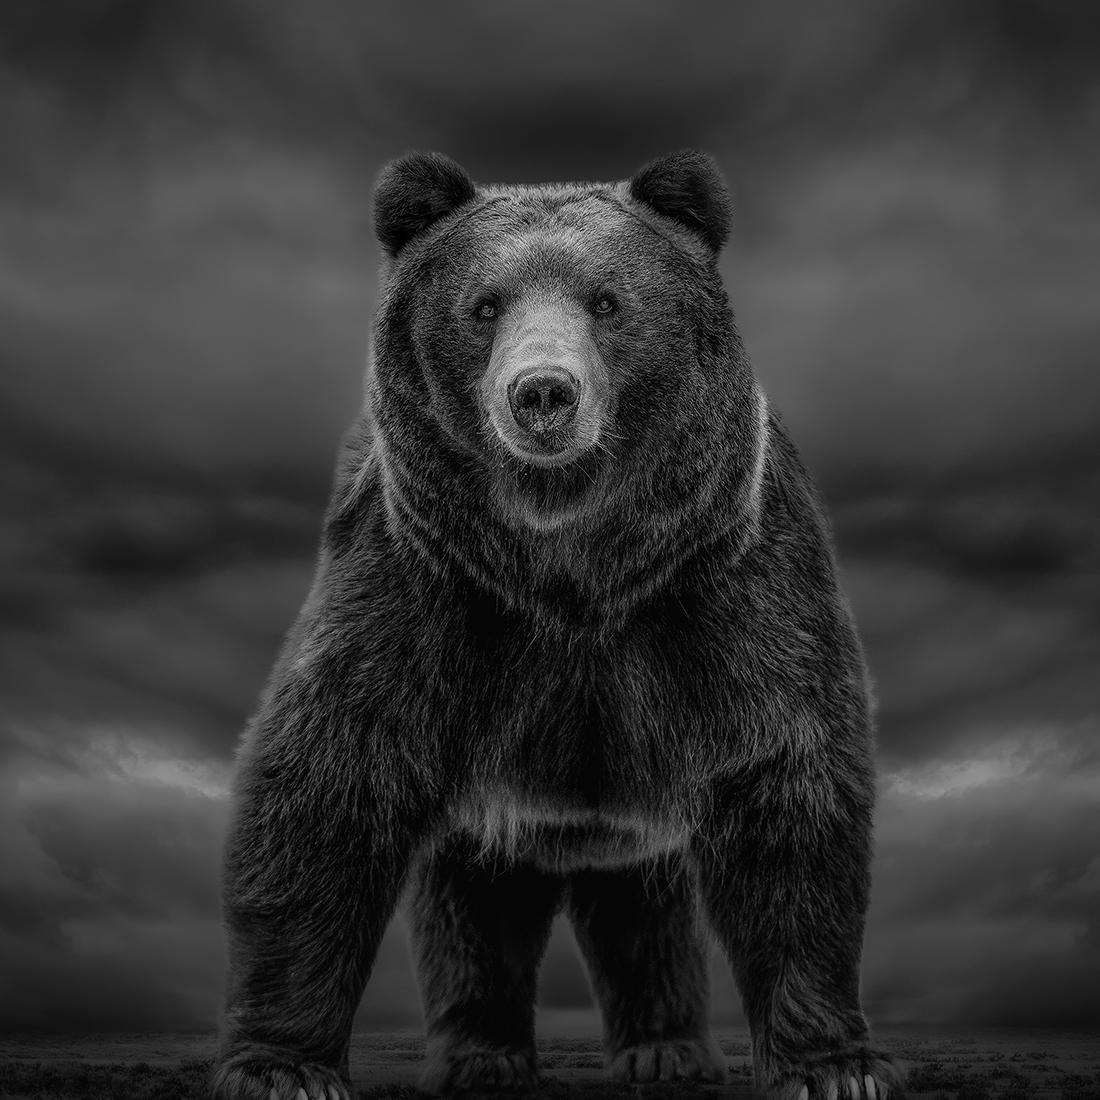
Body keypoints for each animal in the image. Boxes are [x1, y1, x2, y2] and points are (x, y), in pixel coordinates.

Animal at [211, 150, 905, 1100]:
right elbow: (328, 780)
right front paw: (282, 1069)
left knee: (640, 900)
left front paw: (835, 1068)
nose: (542, 391)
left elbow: (786, 784)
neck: (570, 563)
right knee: (473, 906)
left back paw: (666, 1048)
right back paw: (484, 1055)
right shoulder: (426, 590)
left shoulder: (722, 588)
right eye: (483, 304)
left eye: (608, 301)